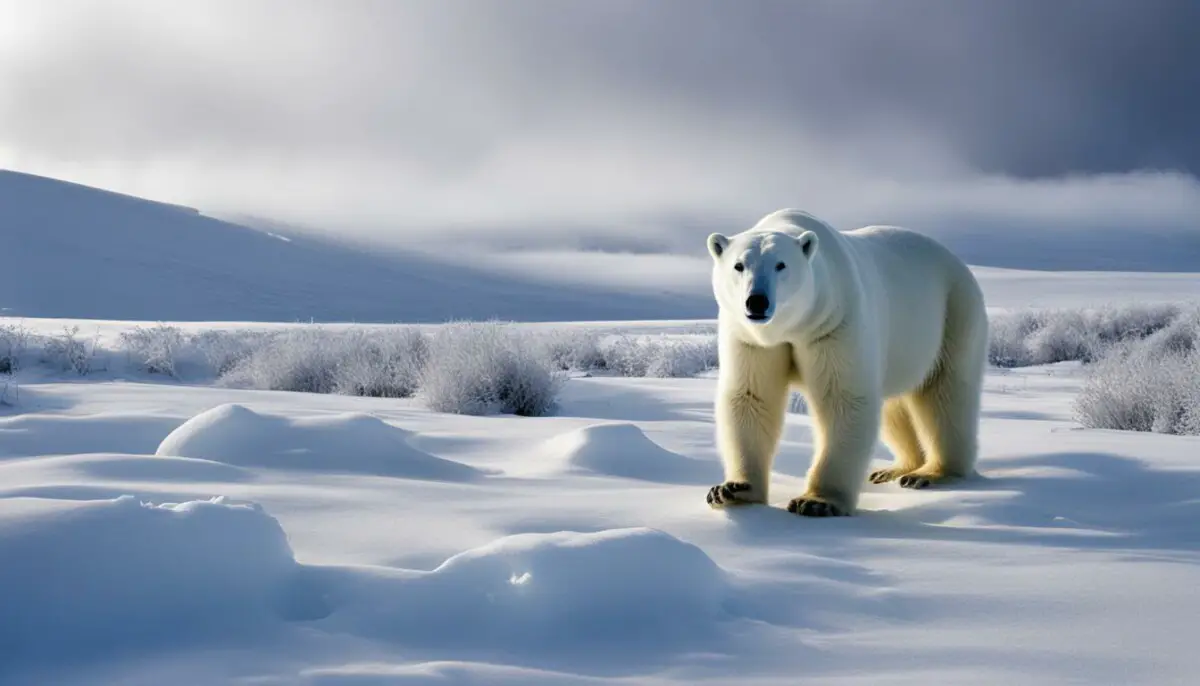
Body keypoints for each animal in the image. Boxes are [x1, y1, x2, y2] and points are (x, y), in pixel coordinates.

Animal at [703, 209, 988, 517]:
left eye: (781, 265)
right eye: (738, 265)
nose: (757, 301)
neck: (793, 327)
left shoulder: (833, 324)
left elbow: (842, 398)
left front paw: (816, 501)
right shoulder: (751, 340)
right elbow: (751, 397)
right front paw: (732, 490)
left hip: (954, 312)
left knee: (945, 393)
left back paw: (931, 473)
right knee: (893, 405)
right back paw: (894, 469)